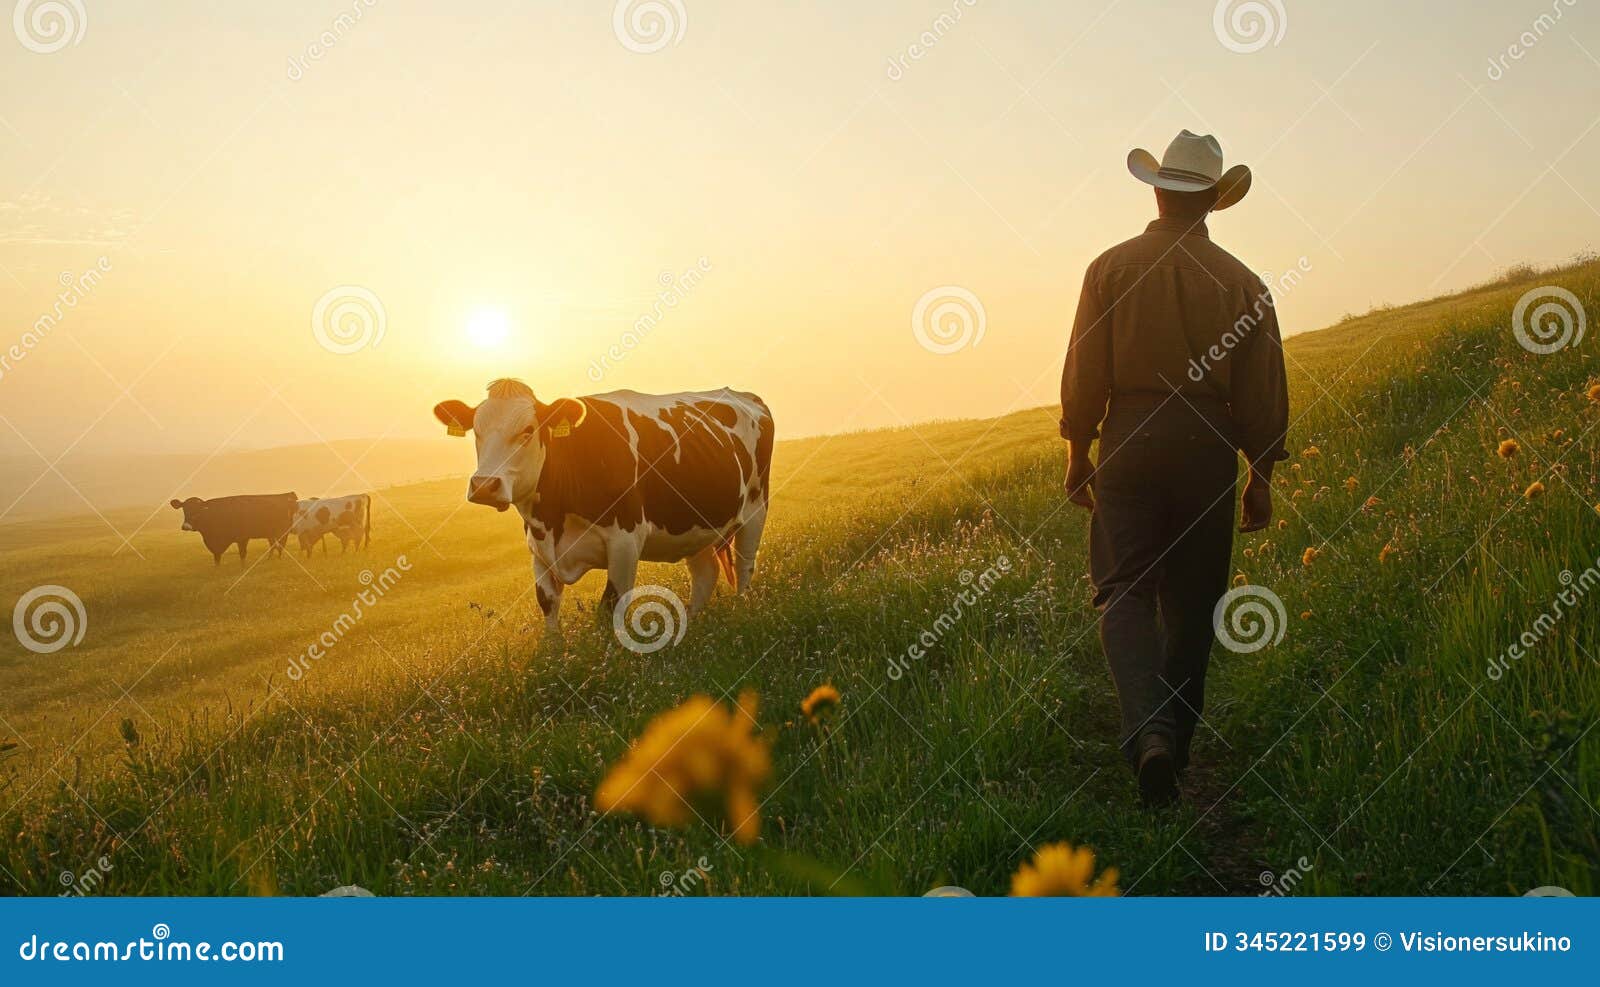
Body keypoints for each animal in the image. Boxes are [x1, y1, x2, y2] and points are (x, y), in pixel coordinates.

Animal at [169, 492, 298, 565]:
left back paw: (277, 559)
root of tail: (288, 495)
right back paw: (269, 559)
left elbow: (242, 554)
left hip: (282, 531)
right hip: (271, 533)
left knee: (280, 546)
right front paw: (217, 569)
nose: (186, 526)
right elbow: (216, 557)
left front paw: (242, 568)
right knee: (273, 545)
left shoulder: (243, 538)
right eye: (184, 509)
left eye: (198, 510)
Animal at [432, 379, 774, 636]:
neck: (552, 519)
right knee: (705, 573)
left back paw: (741, 613)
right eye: (476, 431)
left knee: (744, 566)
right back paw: (692, 623)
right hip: (695, 526)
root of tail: (744, 395)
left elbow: (610, 604)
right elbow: (547, 603)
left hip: (755, 509)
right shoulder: (537, 548)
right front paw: (552, 656)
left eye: (527, 430)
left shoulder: (625, 541)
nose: (484, 485)